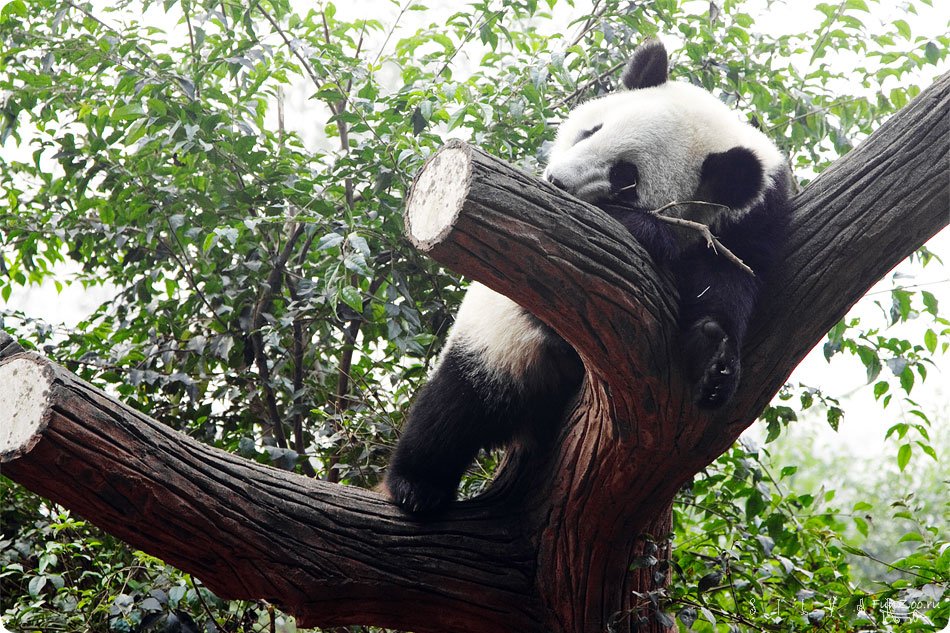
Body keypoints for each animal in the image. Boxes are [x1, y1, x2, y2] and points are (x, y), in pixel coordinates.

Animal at [385, 39, 791, 514]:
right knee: (456, 405)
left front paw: (713, 358)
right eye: (591, 131)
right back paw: (417, 485)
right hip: (498, 347)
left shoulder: (753, 223)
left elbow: (729, 281)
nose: (556, 181)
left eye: (626, 177)